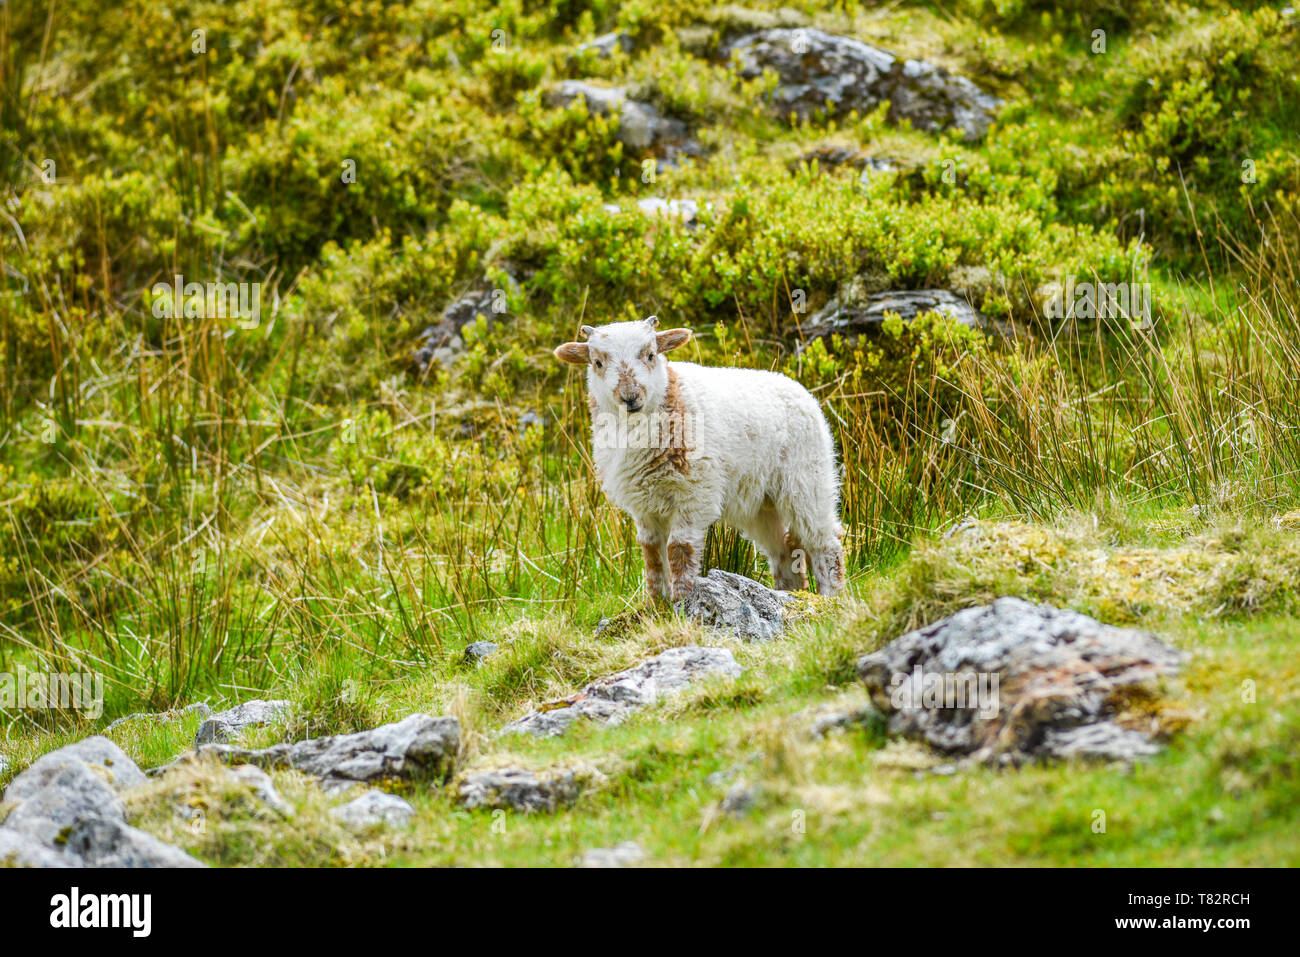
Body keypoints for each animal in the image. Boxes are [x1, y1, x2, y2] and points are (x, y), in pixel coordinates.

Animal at [554, 316, 845, 601]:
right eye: (598, 363)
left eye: (650, 355)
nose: (630, 397)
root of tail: (797, 387)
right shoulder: (644, 504)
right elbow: (652, 554)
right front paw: (655, 604)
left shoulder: (694, 494)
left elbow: (679, 548)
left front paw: (683, 601)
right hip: (761, 502)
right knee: (783, 549)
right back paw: (789, 594)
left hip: (806, 480)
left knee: (825, 542)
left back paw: (833, 598)